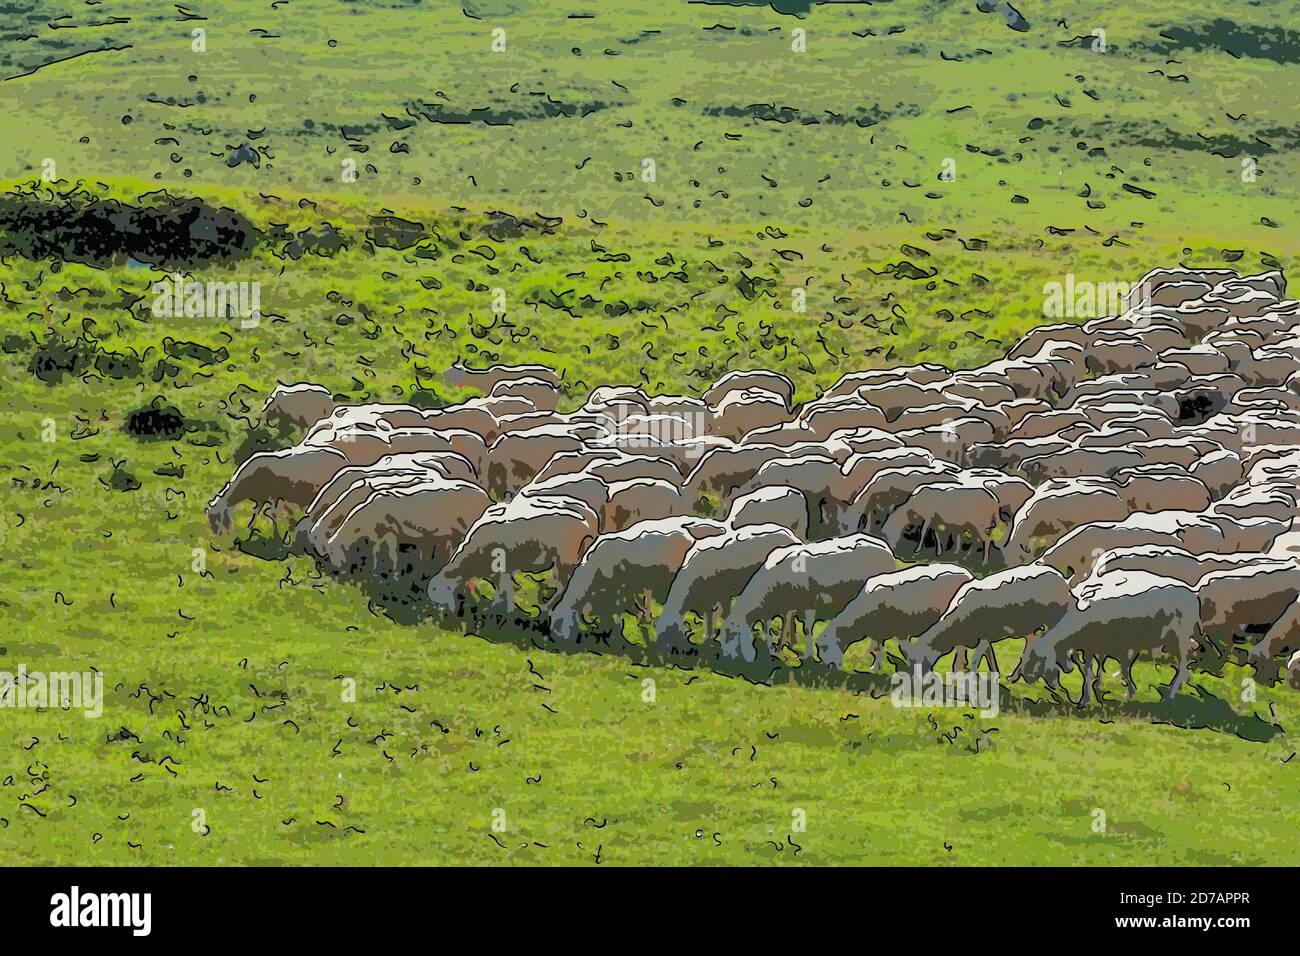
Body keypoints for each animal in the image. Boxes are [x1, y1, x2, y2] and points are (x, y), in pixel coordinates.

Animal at [427, 494, 601, 613]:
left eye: (438, 591)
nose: (443, 614)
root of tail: (591, 518)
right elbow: (503, 589)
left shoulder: (502, 565)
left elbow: (503, 589)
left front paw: (502, 611)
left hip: (564, 558)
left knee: (562, 586)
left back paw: (546, 608)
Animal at [550, 517, 727, 644]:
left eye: (559, 624)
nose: (559, 644)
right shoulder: (629, 585)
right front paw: (642, 619)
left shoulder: (619, 585)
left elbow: (617, 608)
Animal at [656, 523, 802, 653]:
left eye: (668, 634)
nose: (660, 655)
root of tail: (794, 537)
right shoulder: (708, 596)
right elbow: (709, 616)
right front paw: (708, 639)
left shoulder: (722, 593)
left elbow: (722, 615)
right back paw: (792, 641)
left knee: (788, 614)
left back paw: (783, 643)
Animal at [717, 533, 897, 663]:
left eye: (730, 635)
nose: (725, 658)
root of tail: (885, 547)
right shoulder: (785, 602)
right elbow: (780, 622)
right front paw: (777, 647)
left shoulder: (809, 600)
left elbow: (808, 628)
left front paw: (807, 655)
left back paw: (870, 651)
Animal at [817, 564, 974, 669]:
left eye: (824, 647)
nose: (830, 667)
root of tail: (968, 573)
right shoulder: (879, 630)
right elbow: (878, 649)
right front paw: (875, 666)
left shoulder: (901, 630)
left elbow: (904, 650)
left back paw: (958, 668)